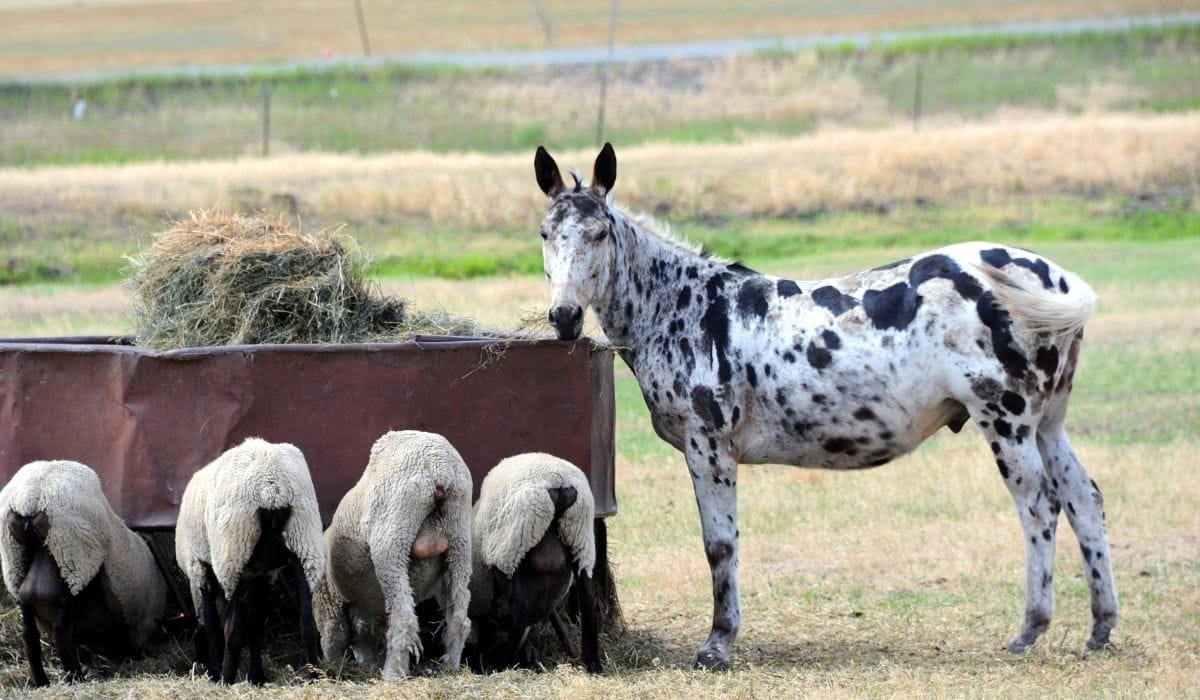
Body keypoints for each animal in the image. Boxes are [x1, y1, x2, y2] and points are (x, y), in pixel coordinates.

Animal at [532, 143, 1118, 671]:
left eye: (599, 233)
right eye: (544, 234)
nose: (564, 317)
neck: (685, 308)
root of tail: (1051, 277)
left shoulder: (709, 448)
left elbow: (719, 545)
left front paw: (718, 644)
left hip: (1006, 421)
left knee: (1040, 506)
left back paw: (1030, 629)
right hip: (1047, 425)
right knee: (1083, 499)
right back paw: (1101, 628)